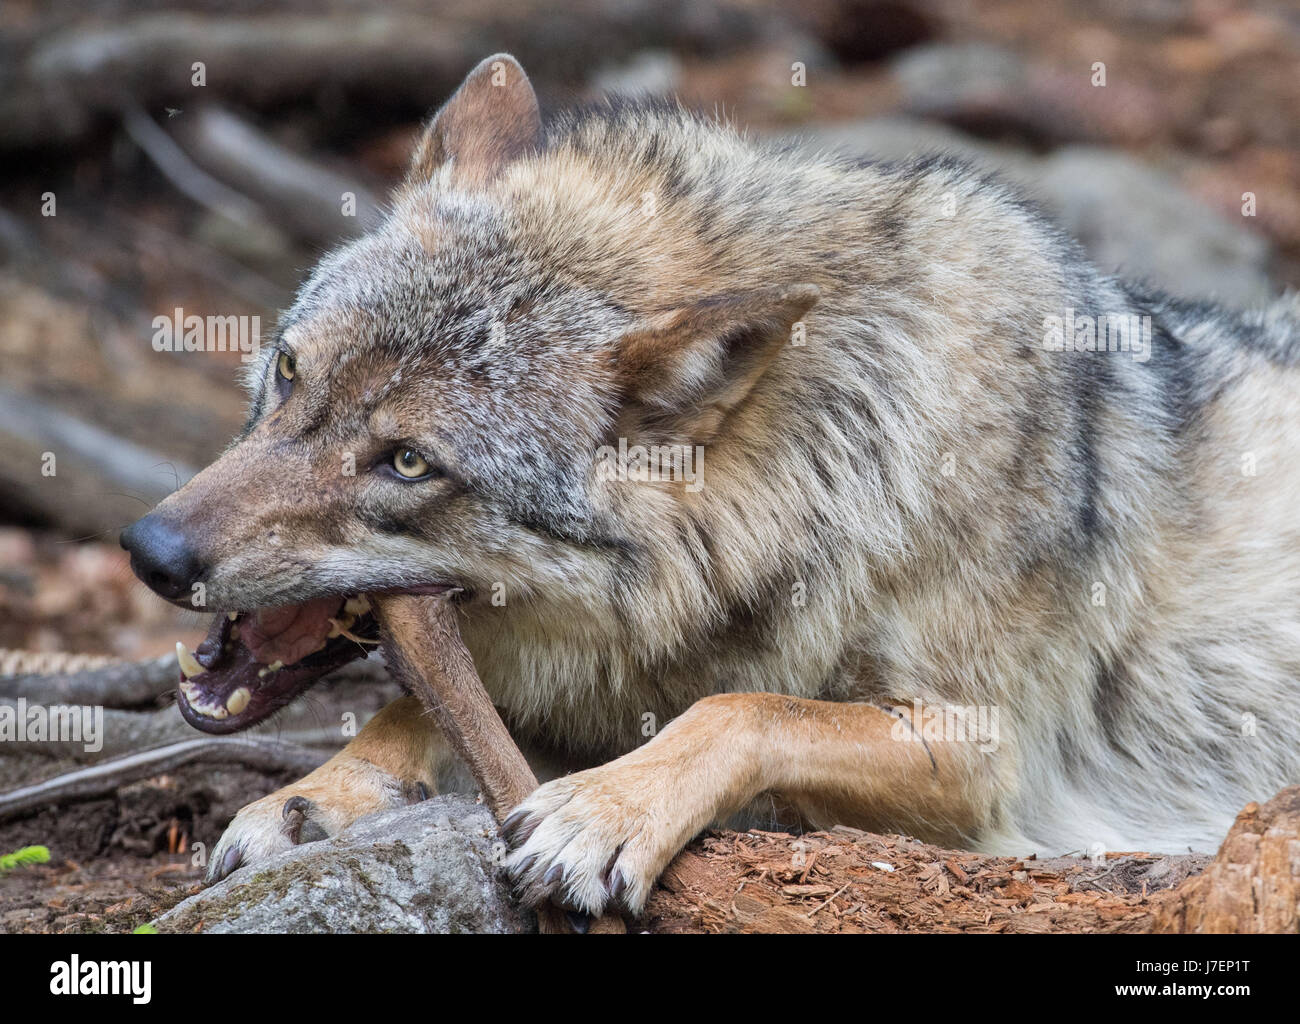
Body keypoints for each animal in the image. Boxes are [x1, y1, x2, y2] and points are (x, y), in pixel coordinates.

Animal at [120, 53, 1300, 918]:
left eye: (407, 461)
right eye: (289, 371)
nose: (151, 553)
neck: (832, 473)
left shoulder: (981, 753)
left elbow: (742, 708)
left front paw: (606, 809)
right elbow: (429, 709)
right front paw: (316, 798)